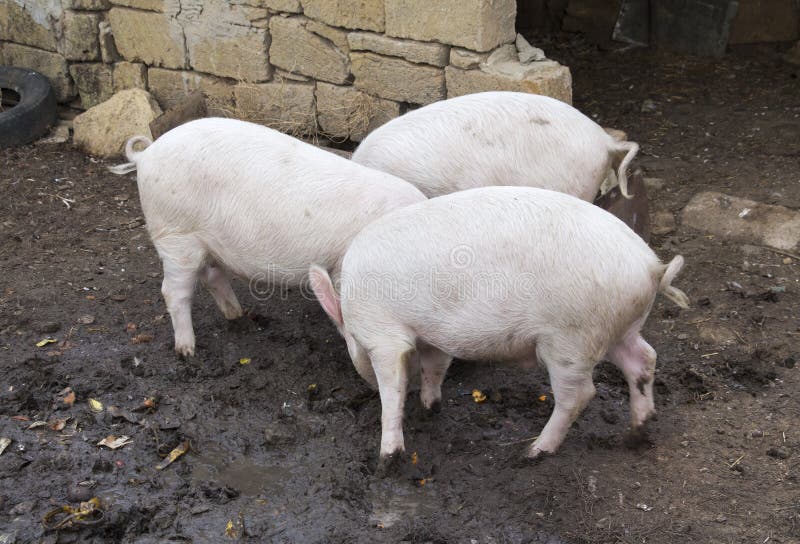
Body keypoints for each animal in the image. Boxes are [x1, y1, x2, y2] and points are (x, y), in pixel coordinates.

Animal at [108, 117, 426, 357]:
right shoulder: (340, 267)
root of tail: (147, 154)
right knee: (173, 291)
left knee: (211, 275)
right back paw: (188, 351)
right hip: (175, 235)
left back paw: (237, 315)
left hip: (204, 241)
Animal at [309, 186, 689, 463]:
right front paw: (432, 408)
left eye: (352, 346)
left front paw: (387, 460)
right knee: (644, 360)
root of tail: (652, 267)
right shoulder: (434, 335)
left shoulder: (382, 333)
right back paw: (638, 433)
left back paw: (532, 453)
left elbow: (393, 386)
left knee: (581, 394)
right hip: (618, 328)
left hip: (571, 340)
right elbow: (435, 367)